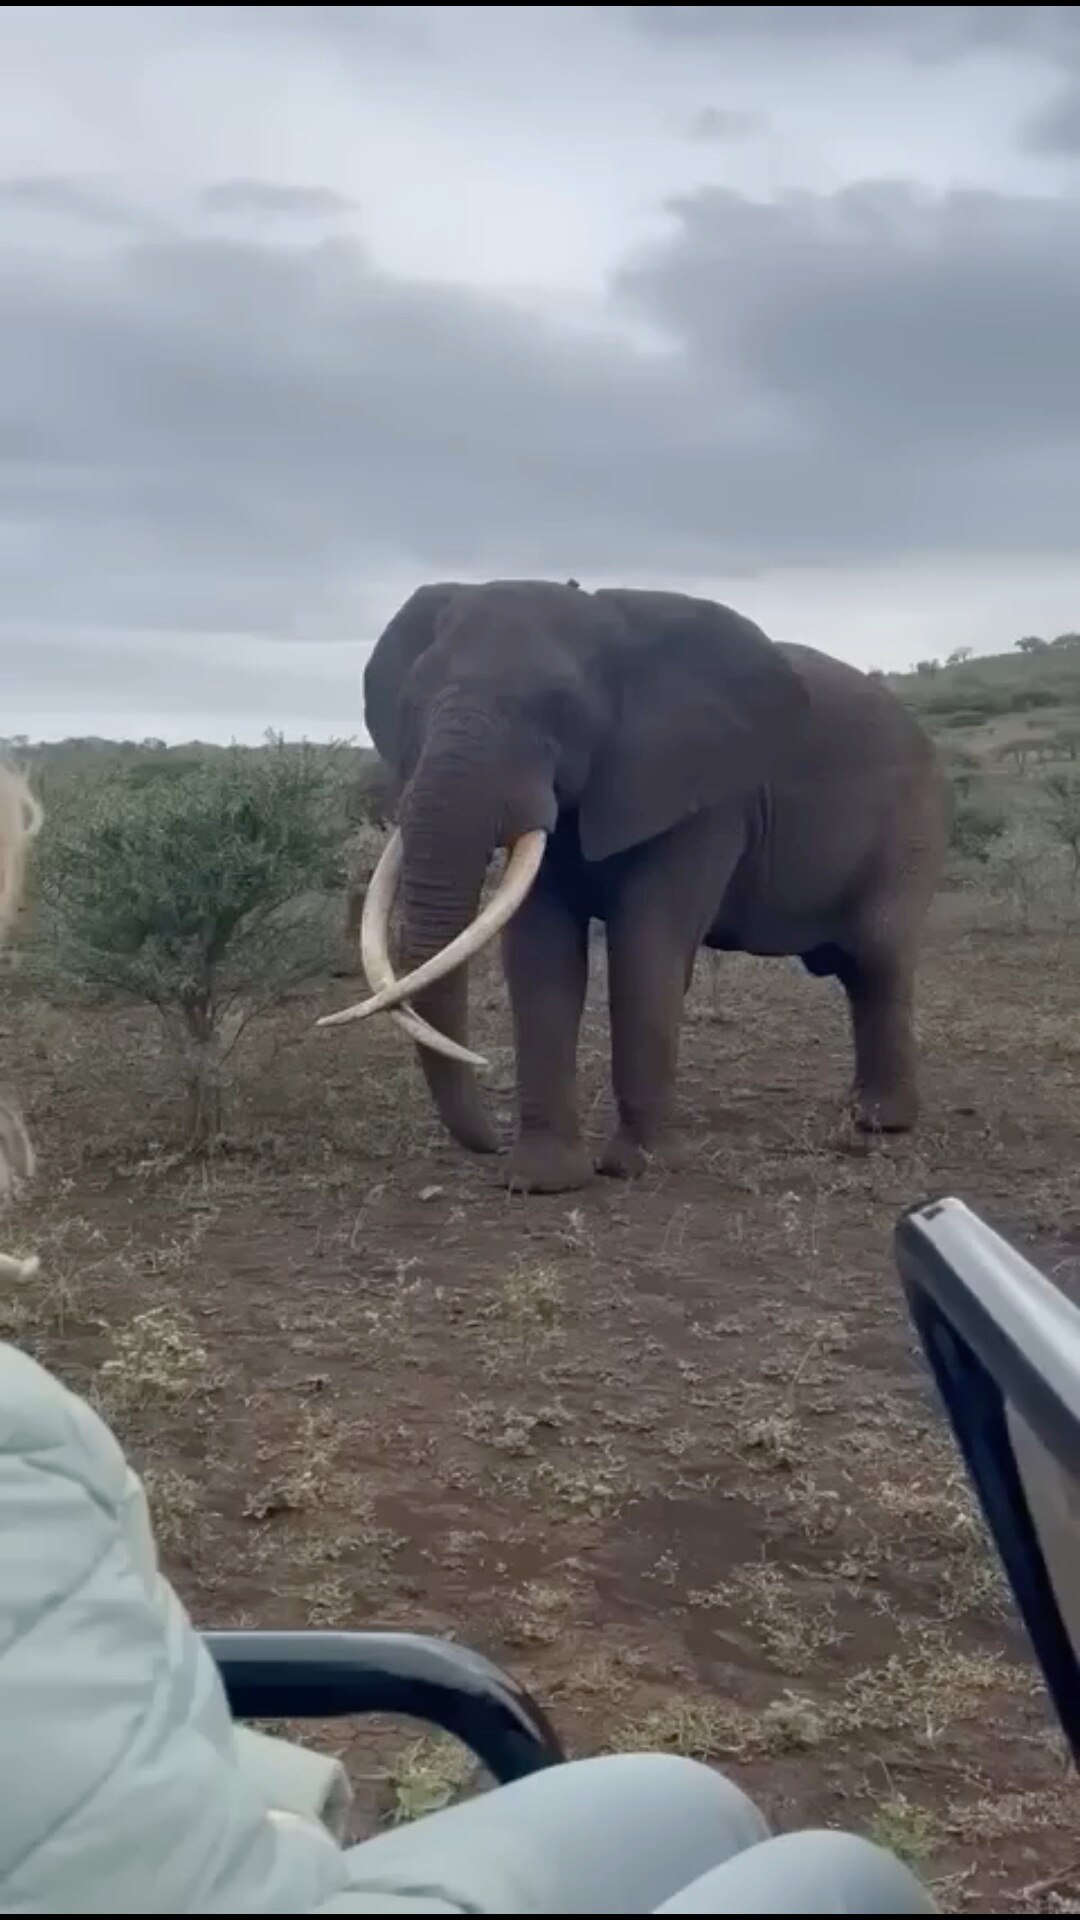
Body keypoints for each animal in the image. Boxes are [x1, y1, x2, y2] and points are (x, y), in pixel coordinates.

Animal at [319, 580, 949, 1194]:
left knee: (878, 961)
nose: (490, 1141)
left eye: (562, 708)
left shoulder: (705, 794)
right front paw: (542, 1181)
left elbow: (647, 945)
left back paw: (878, 1122)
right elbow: (541, 955)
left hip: (909, 828)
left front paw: (638, 1169)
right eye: (411, 705)